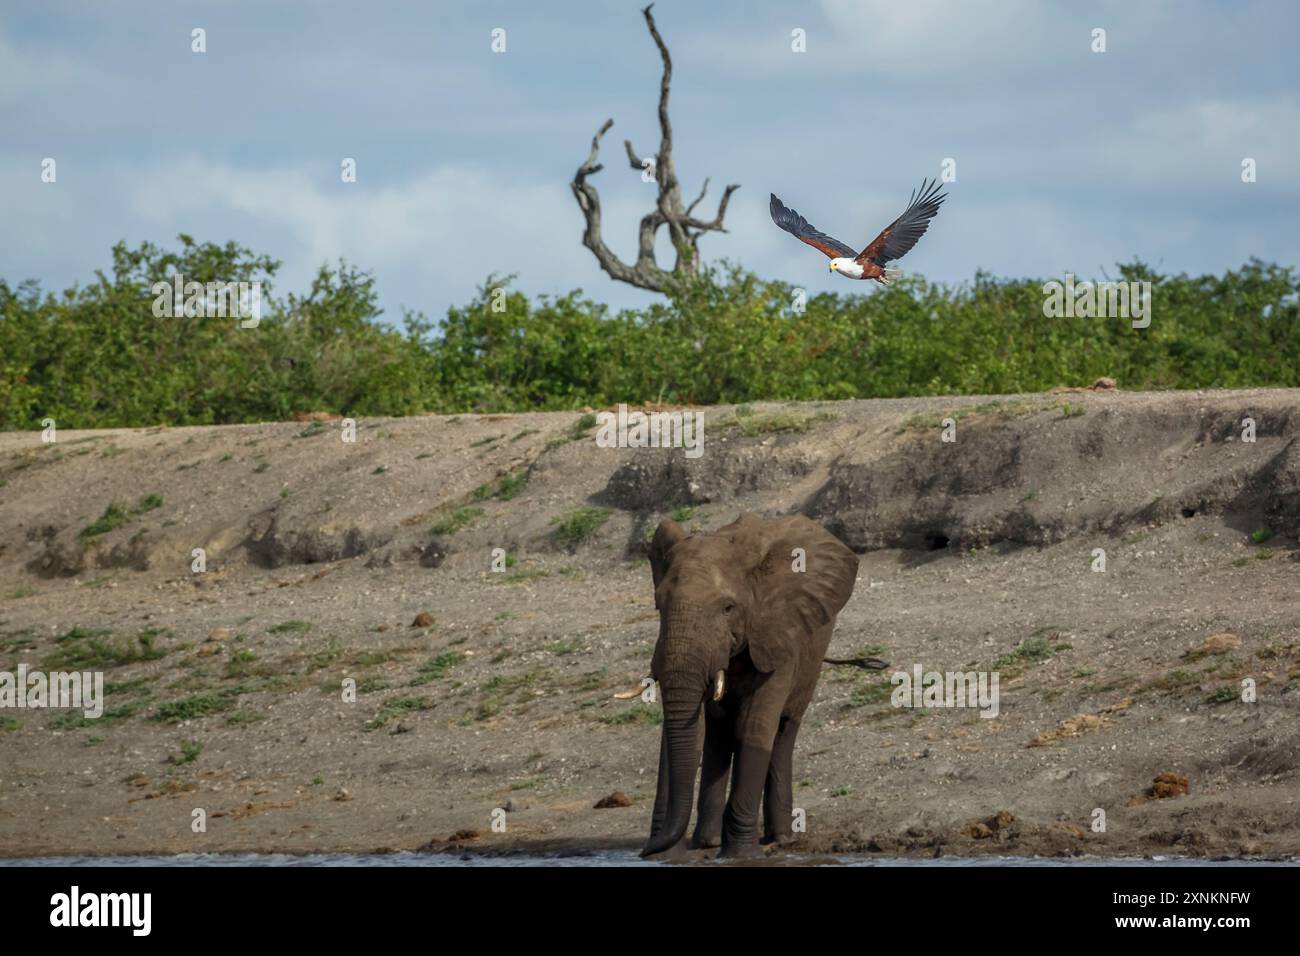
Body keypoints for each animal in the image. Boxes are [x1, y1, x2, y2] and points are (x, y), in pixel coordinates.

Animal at [641, 511, 861, 859]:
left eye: (728, 608)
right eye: (658, 606)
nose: (647, 851)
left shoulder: (777, 632)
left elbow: (753, 728)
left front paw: (740, 856)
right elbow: (688, 729)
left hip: (810, 656)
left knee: (782, 730)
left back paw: (781, 838)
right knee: (718, 736)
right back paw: (707, 842)